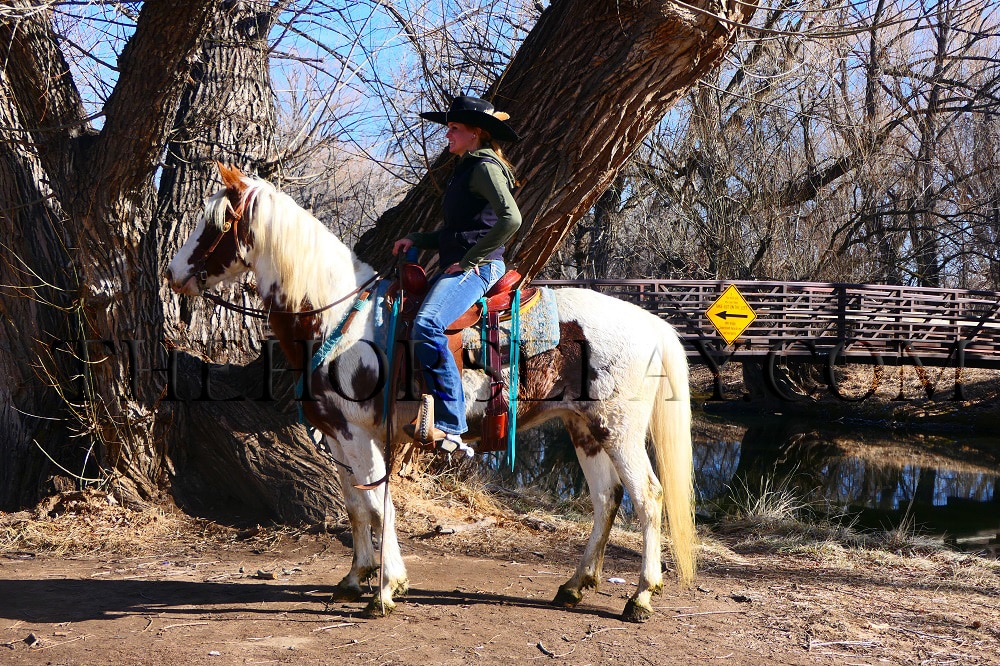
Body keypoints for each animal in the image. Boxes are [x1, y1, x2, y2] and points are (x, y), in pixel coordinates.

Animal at [165, 164, 696, 623]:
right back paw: (574, 585)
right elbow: (356, 506)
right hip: (583, 427)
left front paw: (385, 589)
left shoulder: (362, 434)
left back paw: (641, 597)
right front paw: (355, 578)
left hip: (618, 429)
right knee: (607, 498)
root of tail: (650, 322)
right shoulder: (337, 434)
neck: (338, 318)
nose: (173, 274)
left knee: (647, 497)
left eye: (214, 223)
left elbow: (379, 505)